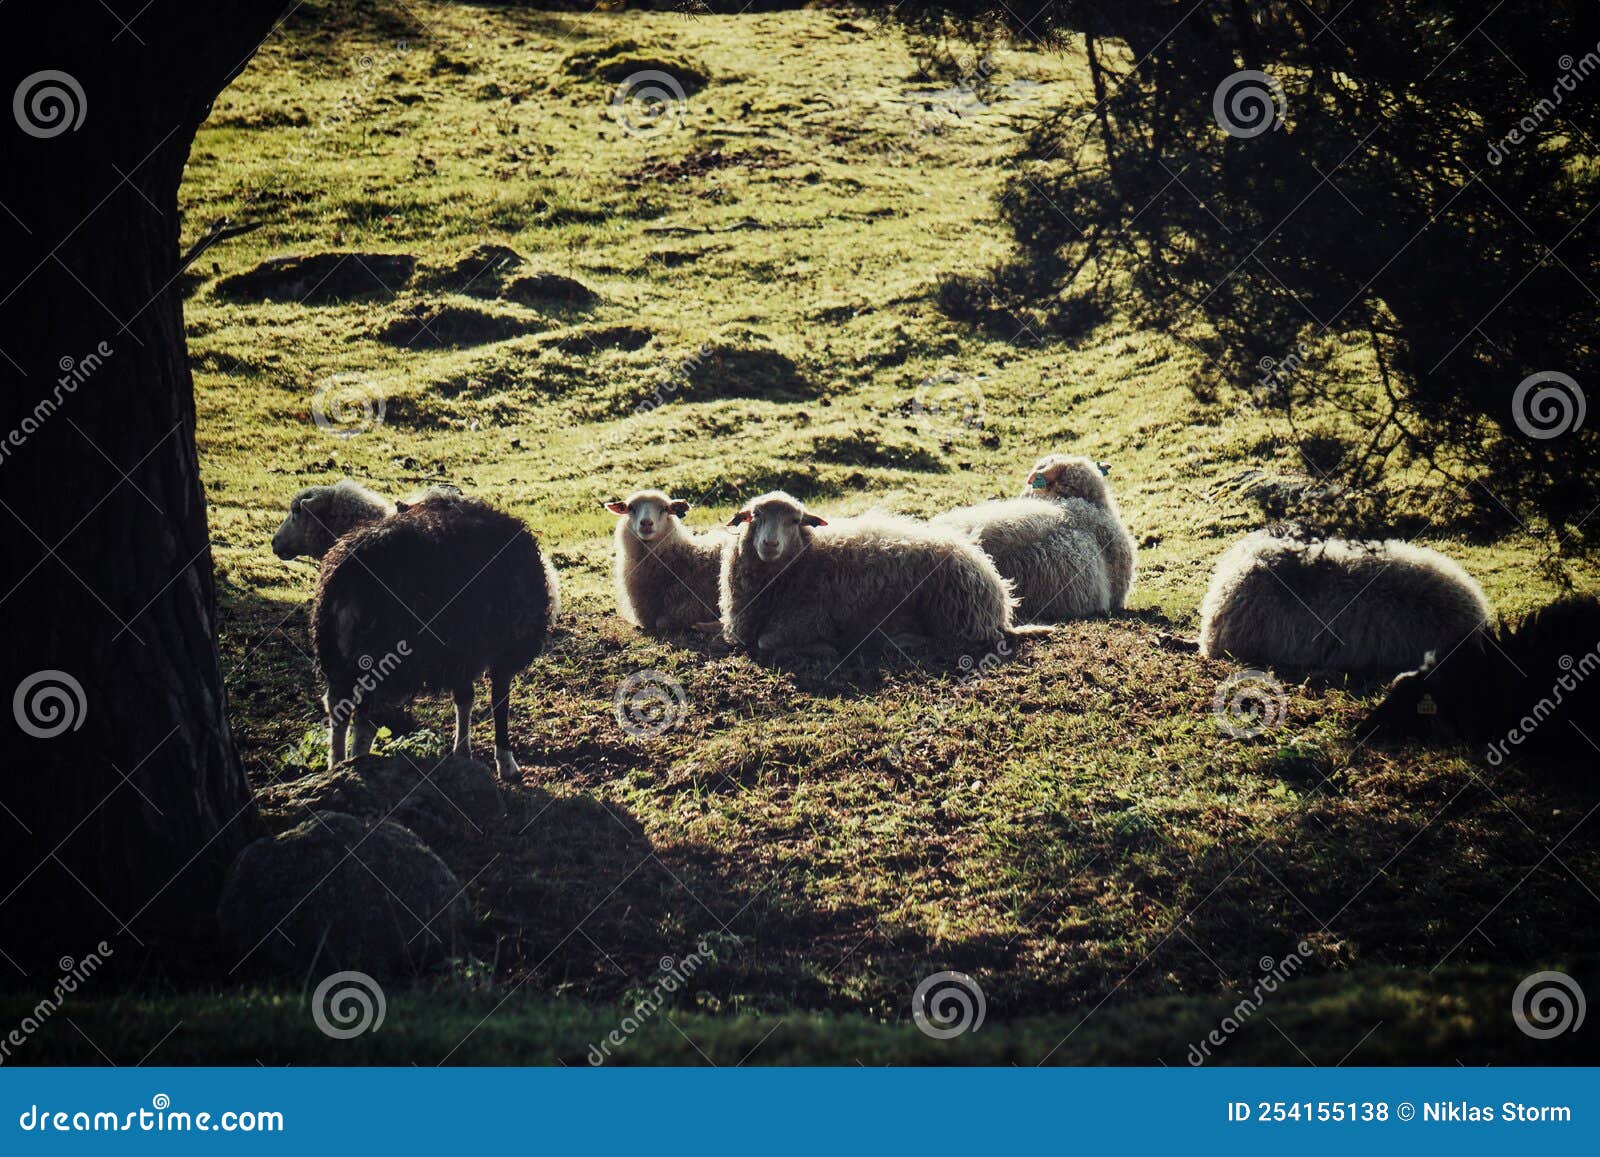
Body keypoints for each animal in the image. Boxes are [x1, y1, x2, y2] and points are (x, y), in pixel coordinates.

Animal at [312, 491, 552, 781]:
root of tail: (347, 572)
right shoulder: (505, 652)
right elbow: (499, 703)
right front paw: (506, 763)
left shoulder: (462, 653)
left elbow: (465, 699)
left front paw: (463, 753)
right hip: (383, 655)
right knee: (366, 717)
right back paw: (359, 762)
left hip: (335, 654)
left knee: (339, 708)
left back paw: (337, 765)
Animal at [720, 490, 1049, 662]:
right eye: (755, 516)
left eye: (795, 520)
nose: (770, 544)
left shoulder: (807, 618)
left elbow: (765, 642)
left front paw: (824, 647)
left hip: (951, 613)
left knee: (946, 641)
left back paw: (896, 641)